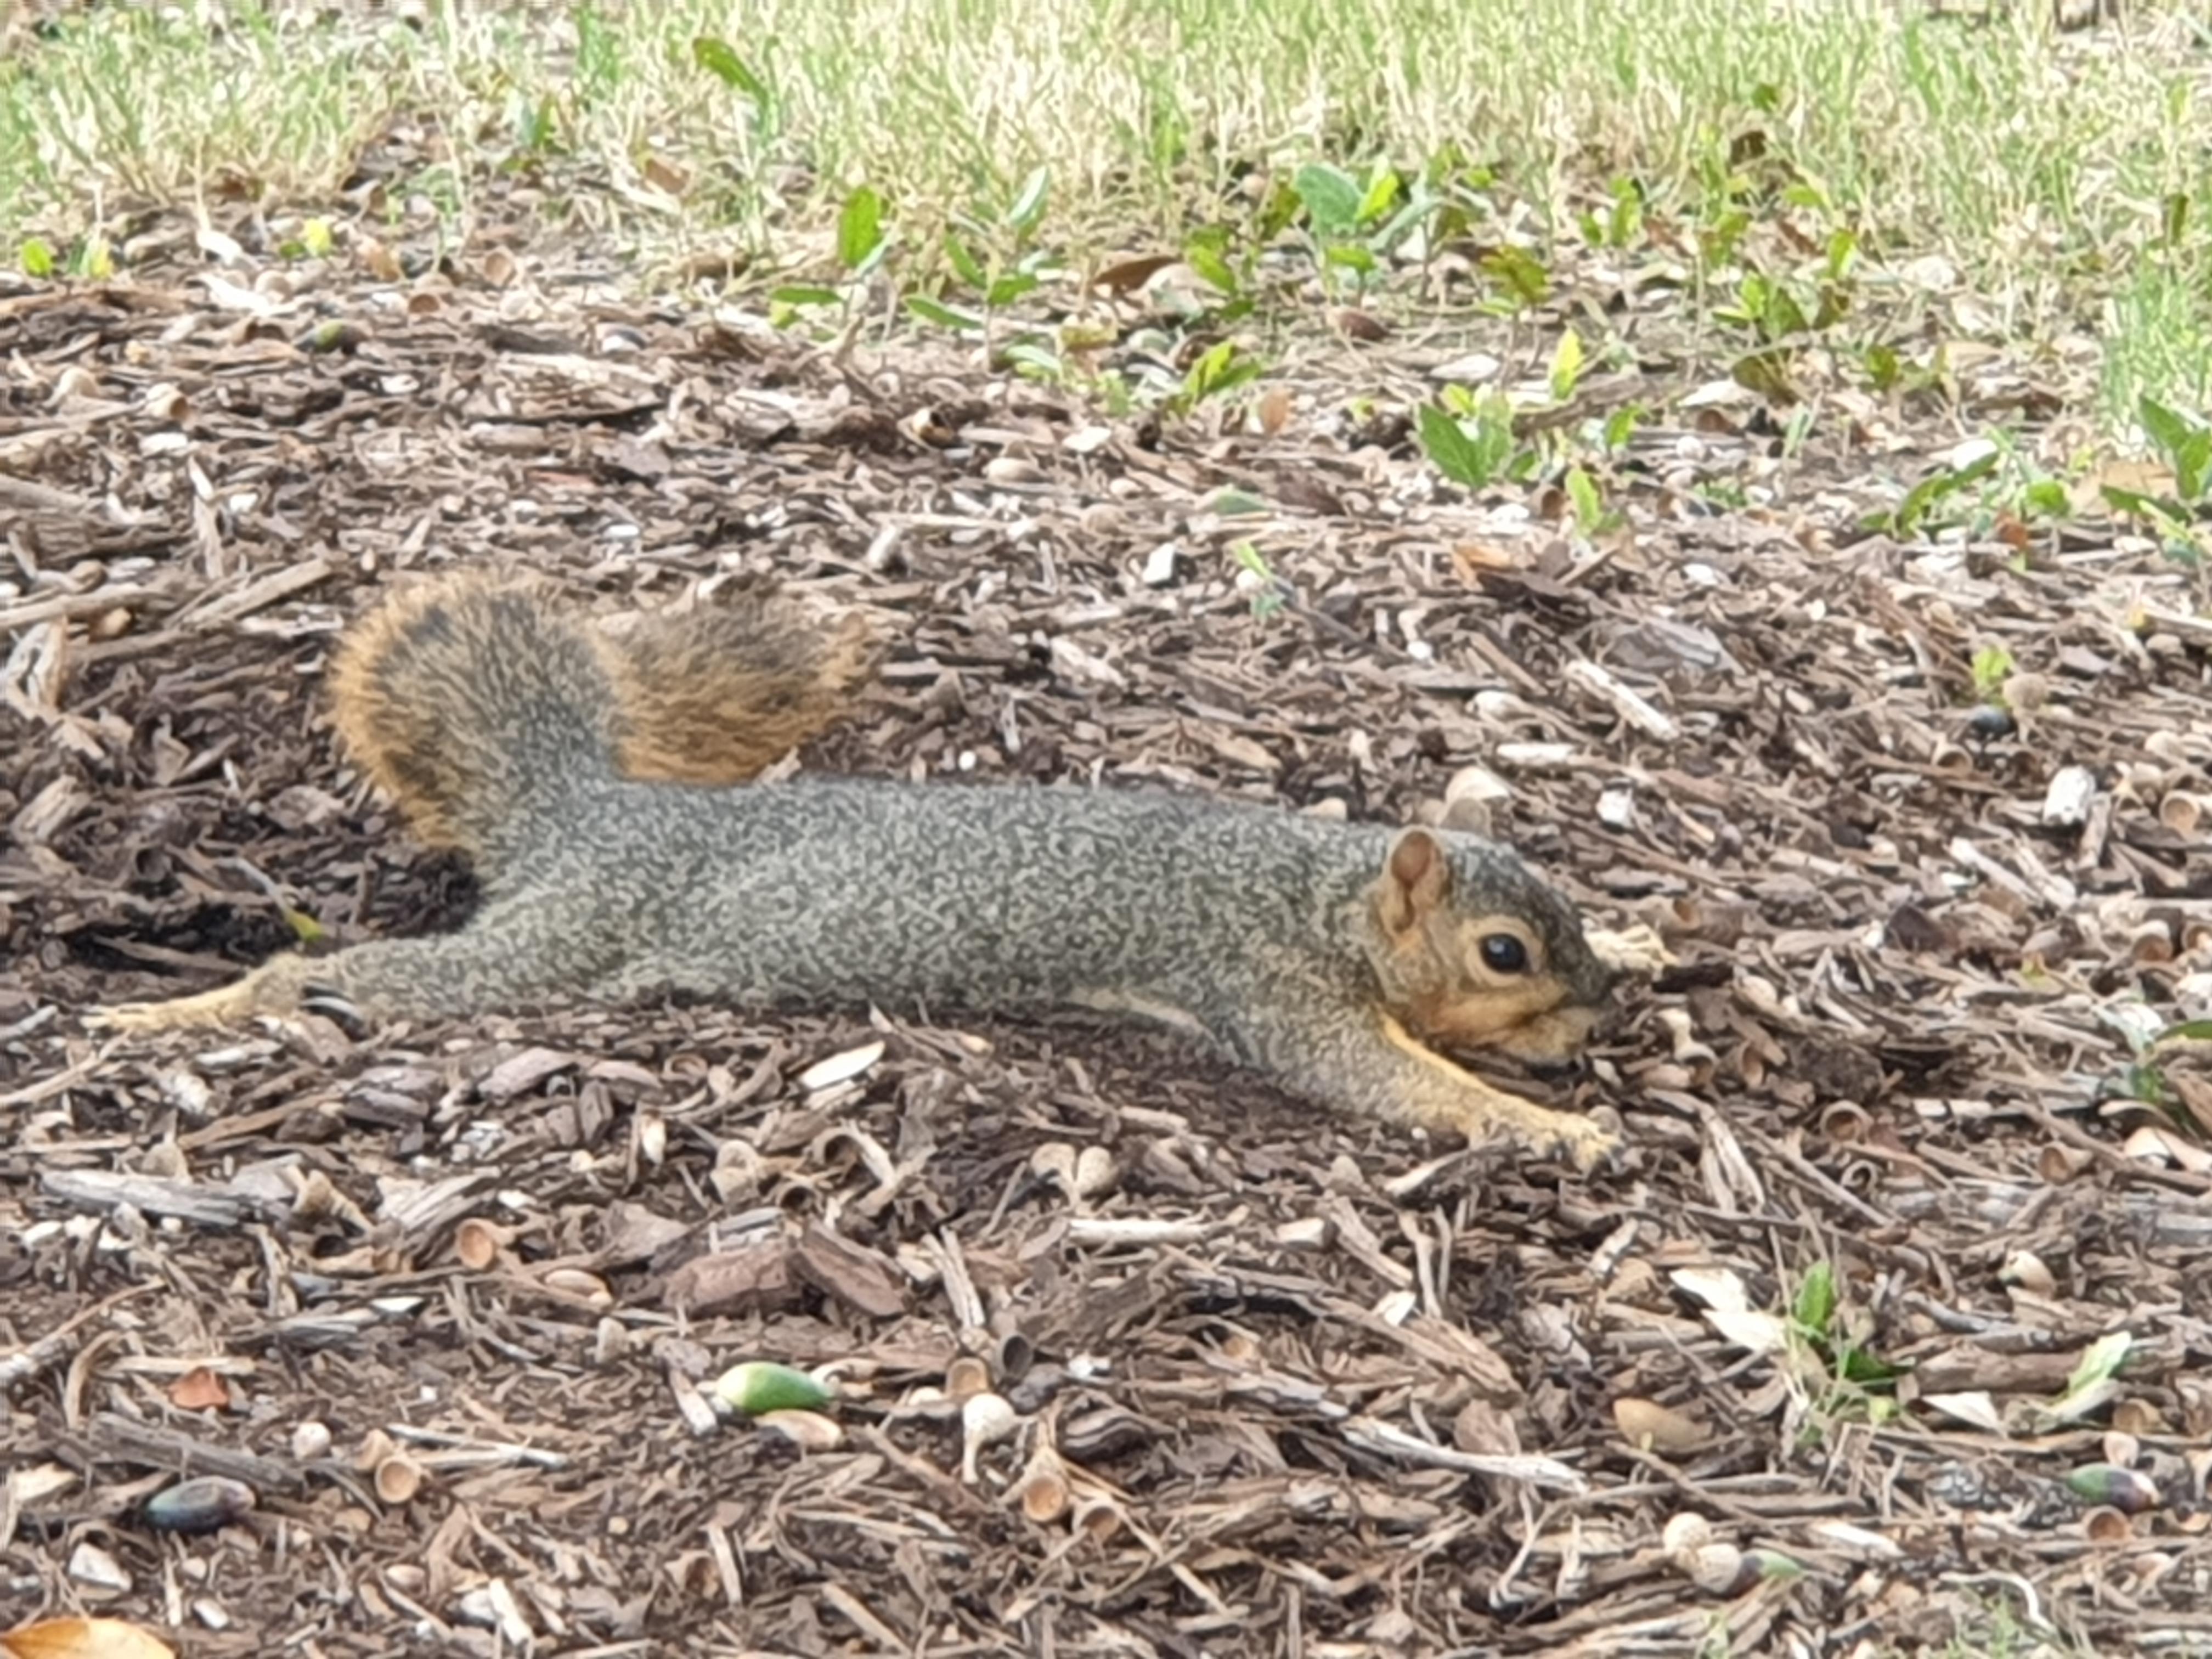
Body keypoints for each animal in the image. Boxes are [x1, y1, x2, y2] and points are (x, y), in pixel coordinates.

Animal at [90, 572, 1627, 1171]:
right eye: (1503, 953)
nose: (1583, 1034)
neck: (1321, 893)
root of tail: (588, 816)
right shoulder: (1266, 984)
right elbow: (1379, 1076)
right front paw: (1552, 1127)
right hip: (555, 941)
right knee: (346, 978)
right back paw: (175, 1013)